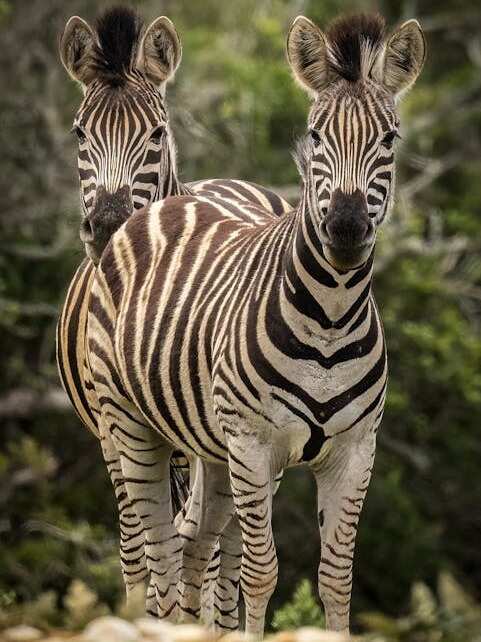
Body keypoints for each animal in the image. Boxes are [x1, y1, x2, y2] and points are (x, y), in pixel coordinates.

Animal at [55, 6, 290, 628]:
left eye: (157, 134)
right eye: (79, 133)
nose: (109, 226)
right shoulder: (113, 434)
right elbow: (138, 548)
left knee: (223, 552)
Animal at [86, 11, 426, 637]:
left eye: (388, 140)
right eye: (315, 136)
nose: (345, 228)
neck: (331, 318)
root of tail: (170, 200)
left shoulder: (355, 451)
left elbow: (336, 580)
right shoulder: (253, 443)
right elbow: (260, 572)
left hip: (212, 451)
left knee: (191, 547)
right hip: (130, 425)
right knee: (158, 553)